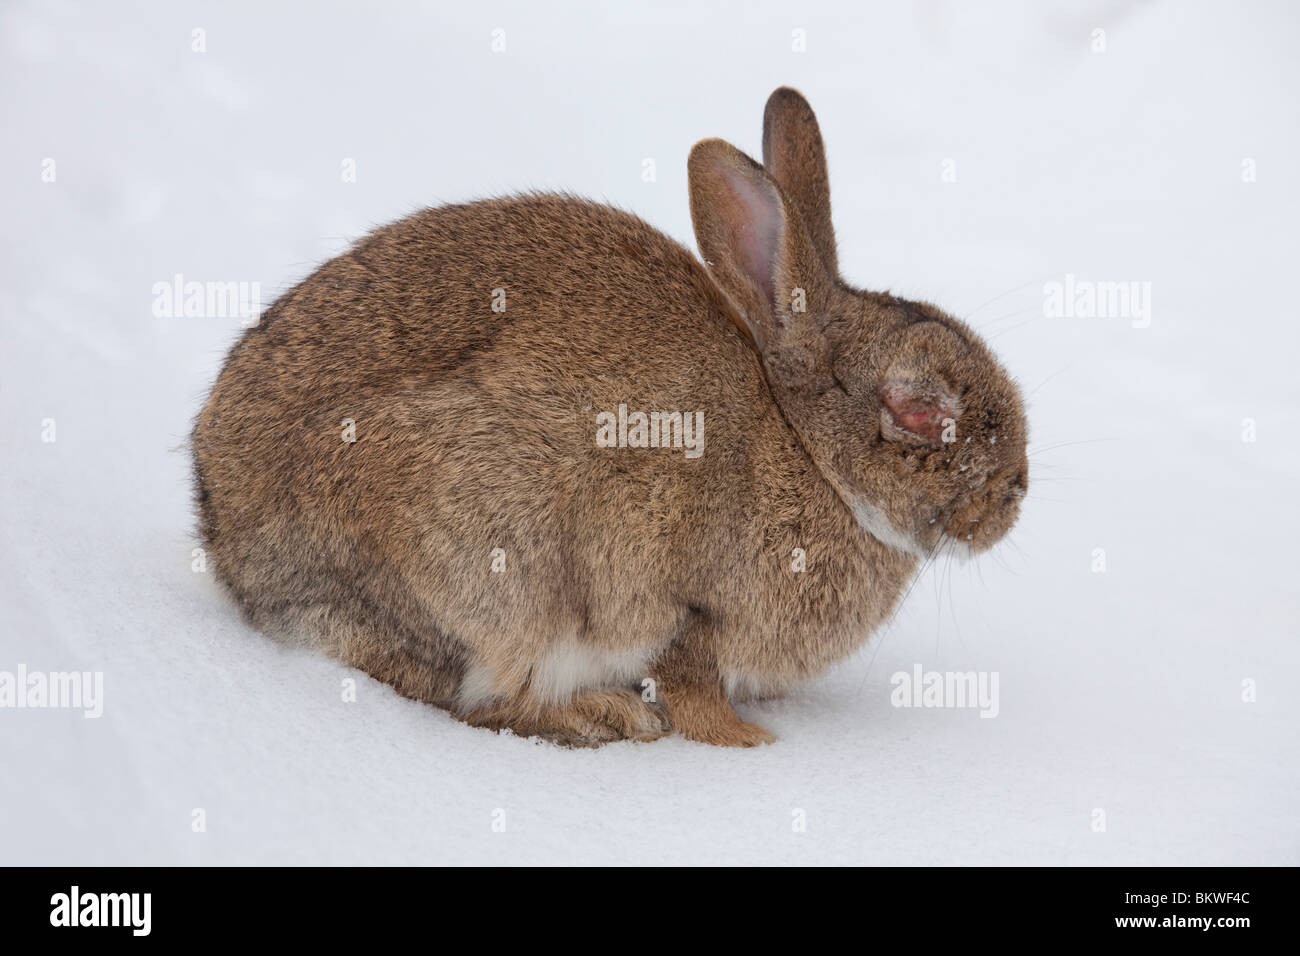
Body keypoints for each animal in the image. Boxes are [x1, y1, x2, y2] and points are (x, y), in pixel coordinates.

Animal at [192, 87, 1028, 747]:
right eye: (919, 409)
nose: (1014, 496)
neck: (804, 452)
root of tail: (226, 533)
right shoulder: (687, 612)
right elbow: (690, 684)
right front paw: (750, 743)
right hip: (478, 563)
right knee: (471, 698)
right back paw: (601, 717)